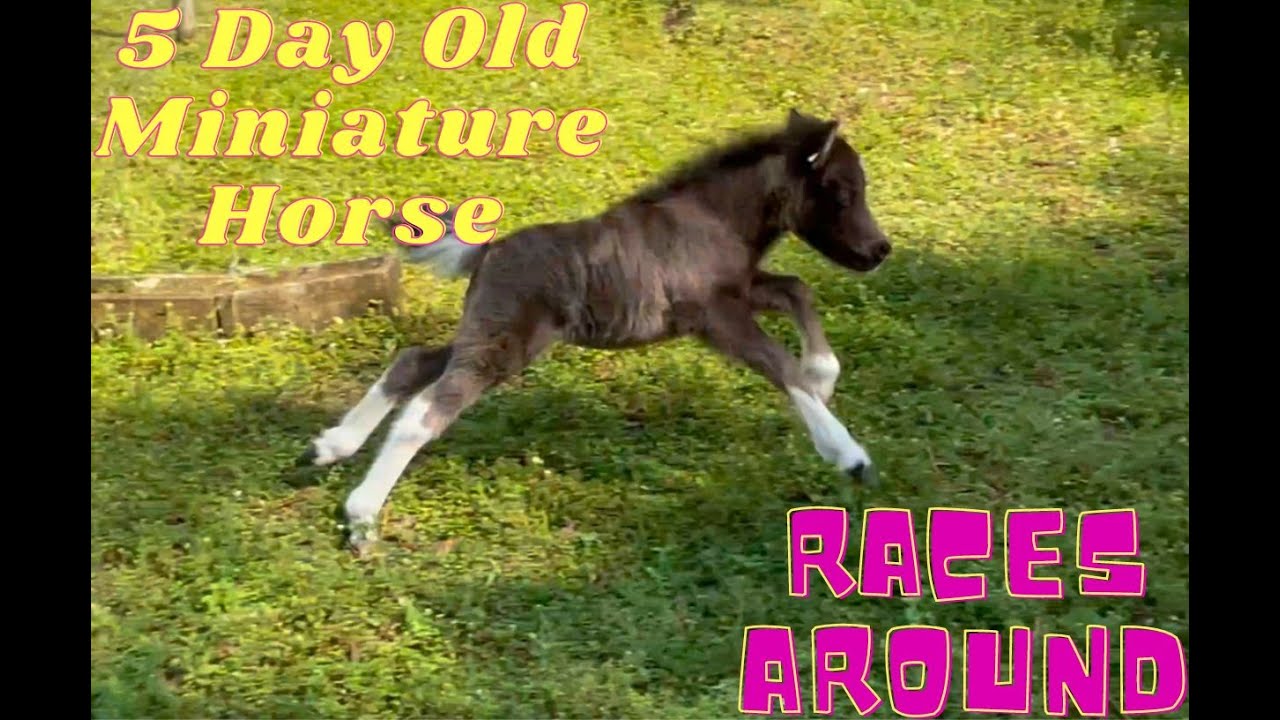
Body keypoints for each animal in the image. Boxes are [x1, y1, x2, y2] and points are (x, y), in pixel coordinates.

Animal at [299, 109, 893, 550]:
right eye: (842, 191)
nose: (879, 251)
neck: (713, 220)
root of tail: (488, 252)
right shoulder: (714, 315)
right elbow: (780, 365)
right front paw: (848, 454)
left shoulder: (742, 289)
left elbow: (797, 290)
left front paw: (825, 374)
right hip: (508, 344)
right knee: (426, 410)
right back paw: (361, 514)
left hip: (492, 332)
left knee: (413, 361)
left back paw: (332, 446)